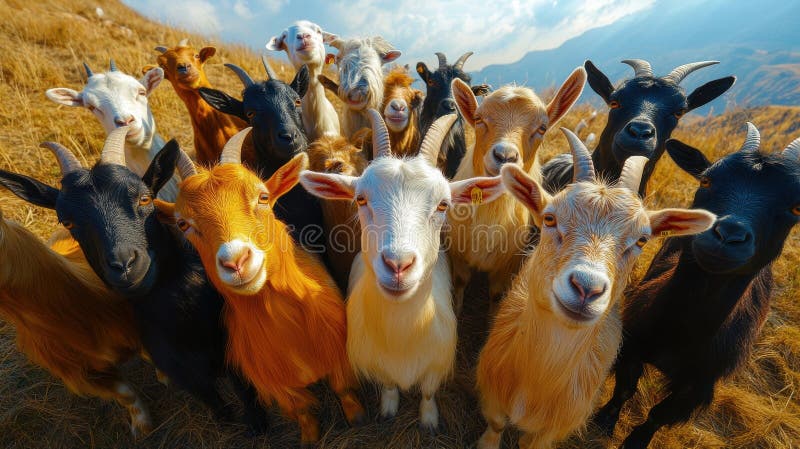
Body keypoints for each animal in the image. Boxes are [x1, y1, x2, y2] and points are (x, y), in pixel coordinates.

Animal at [447, 68, 586, 311]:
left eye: (542, 128)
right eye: (478, 119)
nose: (504, 156)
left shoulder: (507, 265)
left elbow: (496, 296)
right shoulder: (458, 254)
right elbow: (460, 283)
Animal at [475, 129, 715, 449]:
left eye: (642, 240)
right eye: (549, 218)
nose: (586, 288)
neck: (536, 380)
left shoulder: (554, 428)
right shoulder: (492, 389)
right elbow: (496, 423)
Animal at [593, 123, 800, 449]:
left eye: (795, 208)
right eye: (706, 179)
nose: (728, 235)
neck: (679, 333)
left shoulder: (698, 386)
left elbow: (659, 415)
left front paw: (637, 441)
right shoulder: (633, 342)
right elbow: (625, 388)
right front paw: (603, 421)